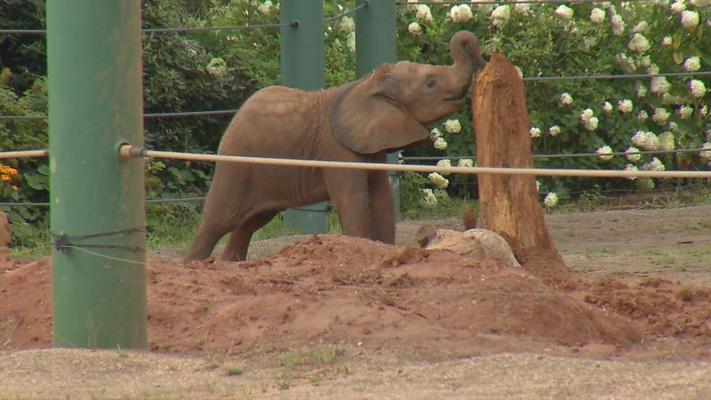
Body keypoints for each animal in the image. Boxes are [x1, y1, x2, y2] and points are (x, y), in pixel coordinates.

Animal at [184, 30, 486, 262]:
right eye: (430, 83)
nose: (484, 60)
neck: (366, 83)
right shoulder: (337, 150)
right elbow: (354, 200)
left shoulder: (371, 147)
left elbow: (382, 199)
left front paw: (386, 251)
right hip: (238, 162)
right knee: (219, 219)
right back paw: (194, 266)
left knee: (250, 222)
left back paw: (230, 265)